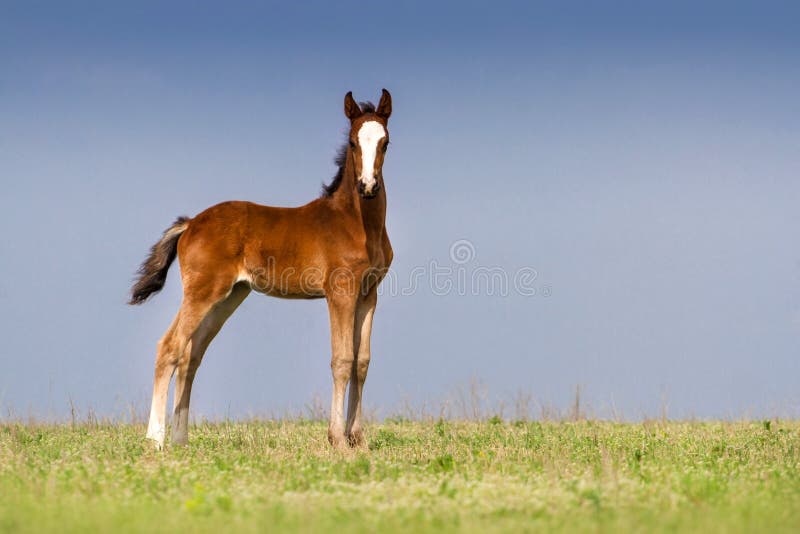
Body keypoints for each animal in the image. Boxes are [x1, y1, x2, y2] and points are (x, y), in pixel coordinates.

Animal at [129, 90, 393, 449]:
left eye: (385, 142)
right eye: (353, 142)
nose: (368, 186)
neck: (355, 223)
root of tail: (191, 223)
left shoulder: (369, 293)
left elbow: (362, 362)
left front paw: (358, 440)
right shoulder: (340, 292)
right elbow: (342, 360)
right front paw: (337, 439)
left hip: (228, 297)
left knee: (190, 356)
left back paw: (181, 440)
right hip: (202, 292)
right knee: (169, 348)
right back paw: (155, 440)